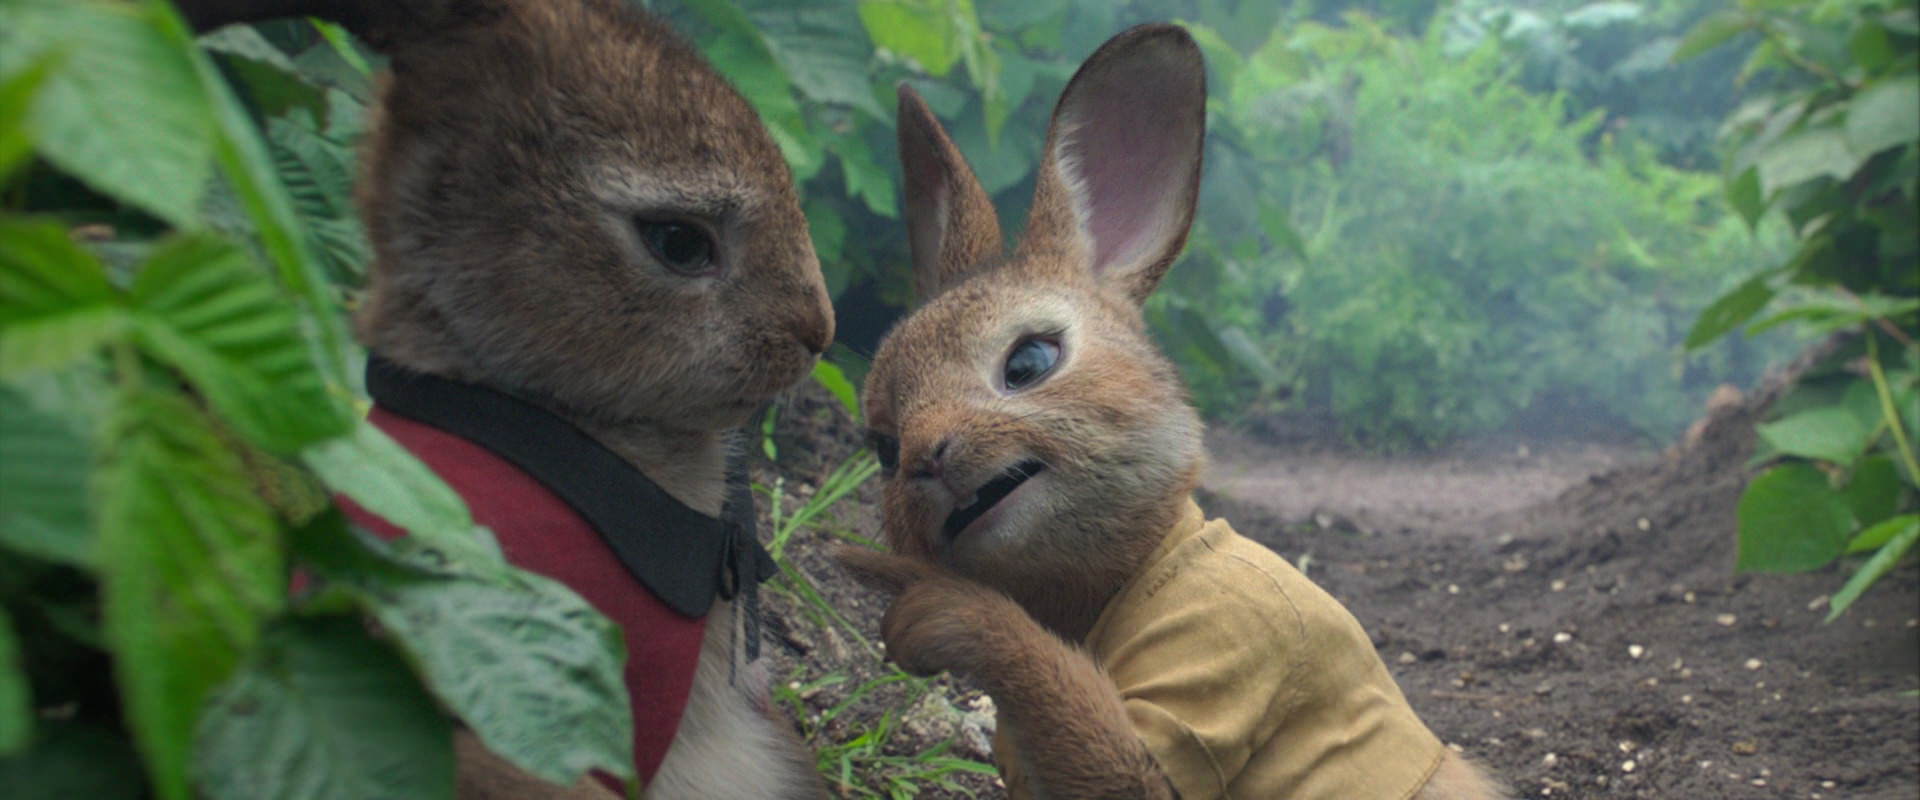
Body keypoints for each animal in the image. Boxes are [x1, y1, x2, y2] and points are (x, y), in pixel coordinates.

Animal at [836, 23, 1507, 800]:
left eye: (1030, 362)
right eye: (883, 447)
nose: (927, 456)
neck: (1133, 568)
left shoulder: (1217, 654)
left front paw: (932, 609)